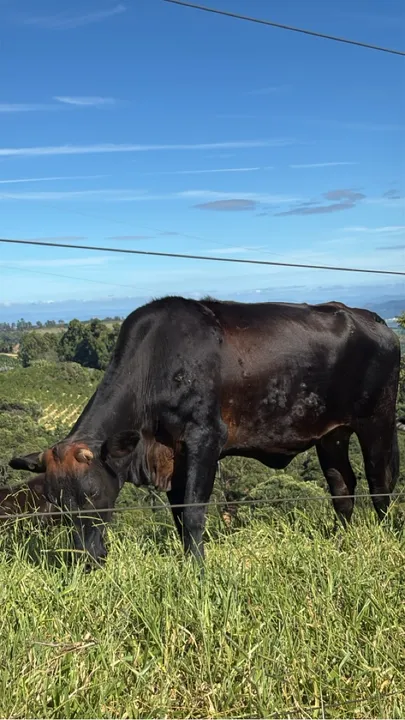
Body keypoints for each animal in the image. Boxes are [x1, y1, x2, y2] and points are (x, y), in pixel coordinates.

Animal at [7, 296, 401, 565]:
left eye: (91, 493)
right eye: (56, 503)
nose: (87, 561)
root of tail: (371, 318)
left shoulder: (205, 438)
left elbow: (194, 513)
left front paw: (198, 569)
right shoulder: (172, 455)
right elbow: (179, 514)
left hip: (377, 422)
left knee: (380, 484)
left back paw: (383, 538)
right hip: (331, 434)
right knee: (342, 488)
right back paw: (342, 540)